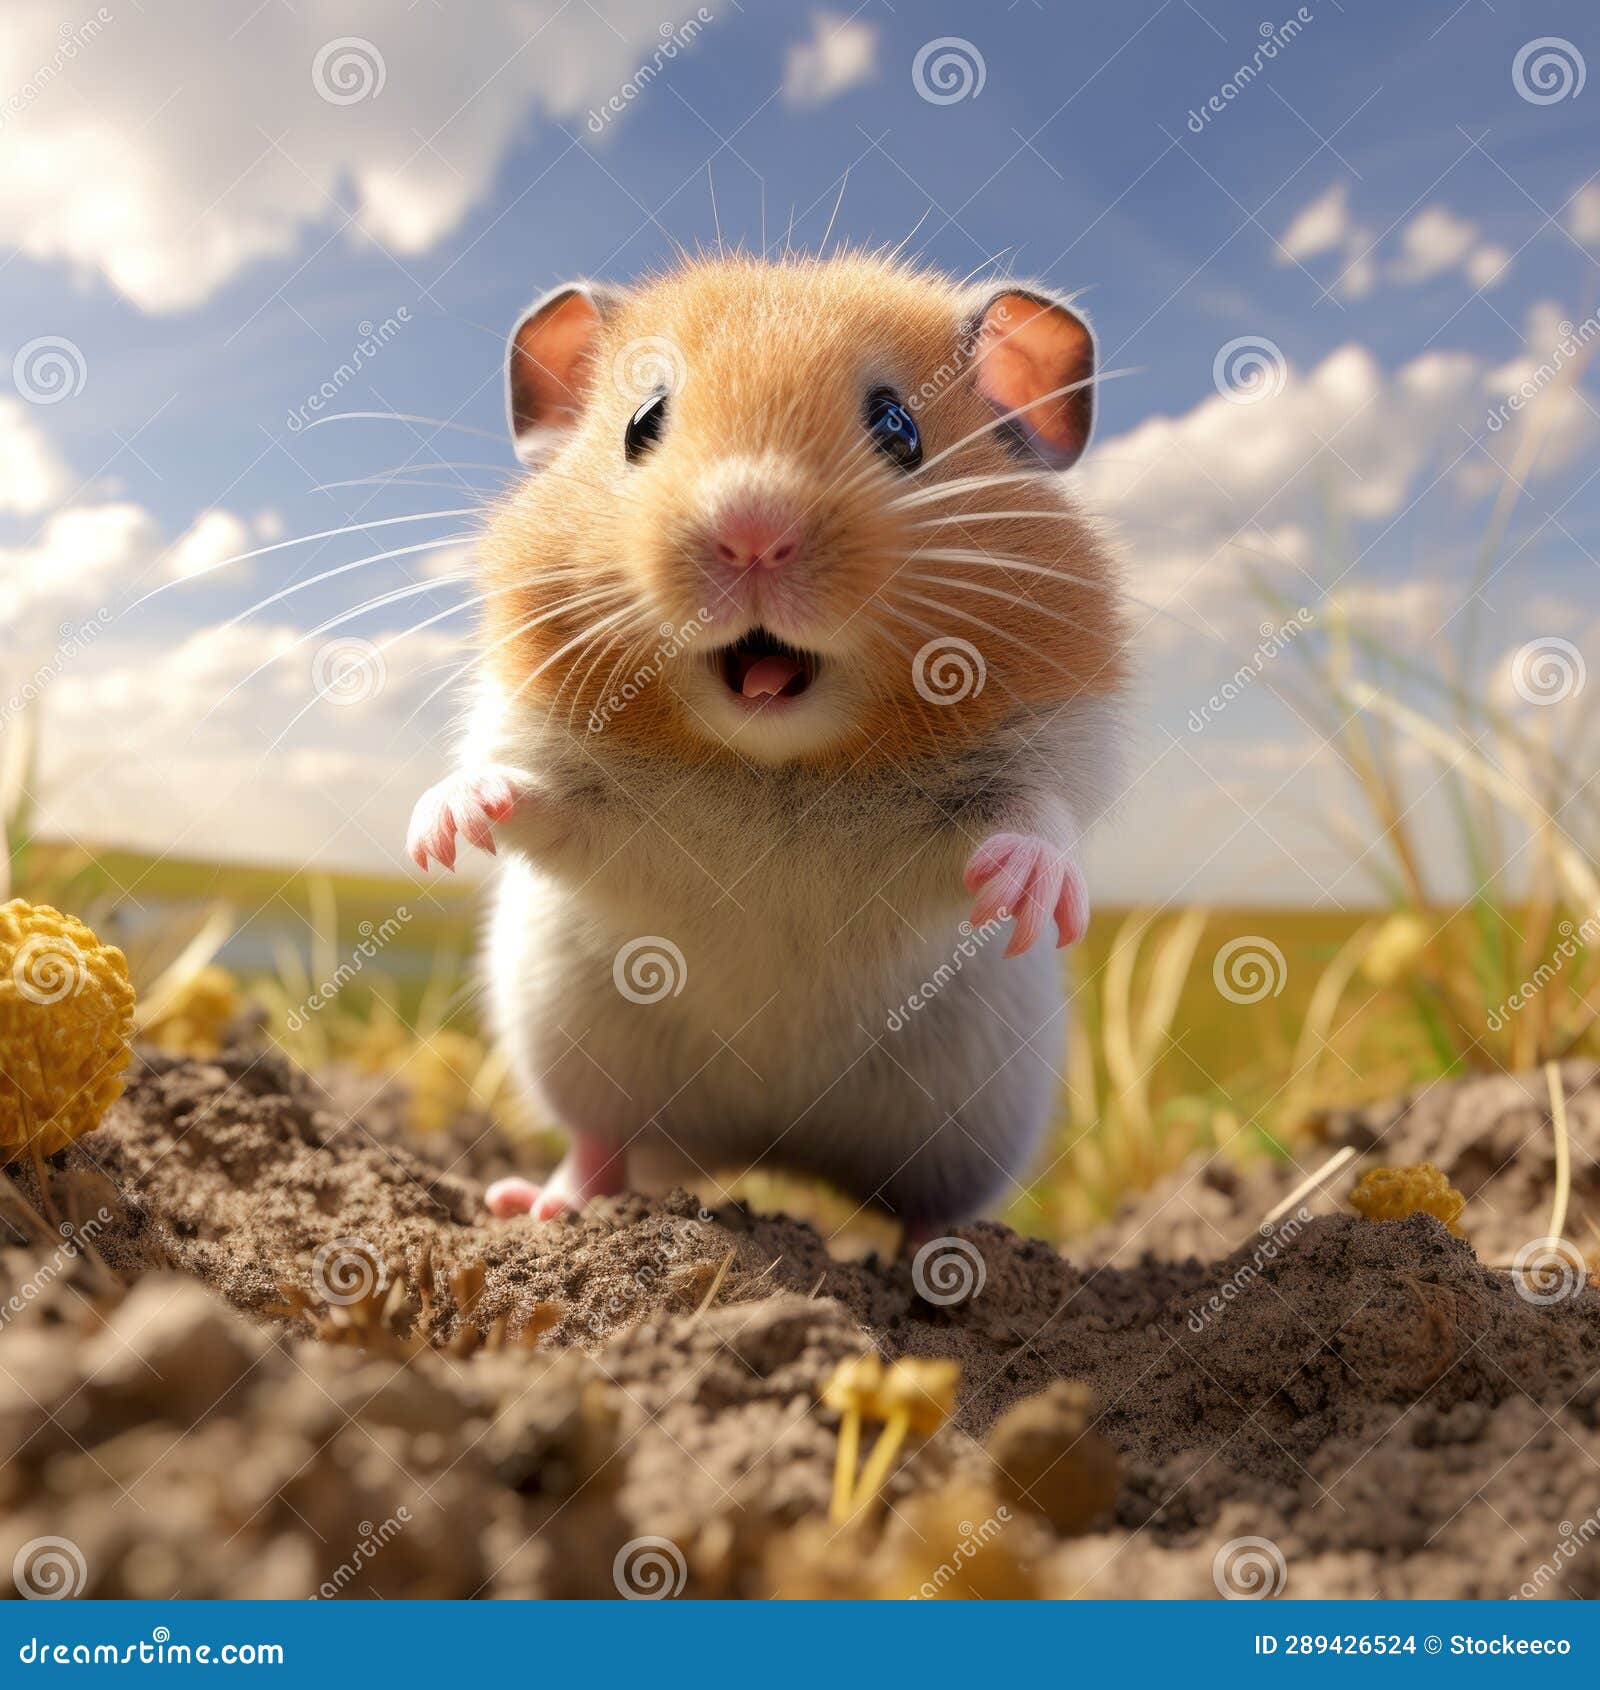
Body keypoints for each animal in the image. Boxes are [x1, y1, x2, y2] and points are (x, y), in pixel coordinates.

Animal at [407, 251, 1127, 1243]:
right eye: (642, 423)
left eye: (899, 428)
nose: (752, 531)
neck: (771, 763)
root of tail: (766, 1146)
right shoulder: (559, 768)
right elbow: (525, 791)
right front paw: (445, 829)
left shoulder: (1055, 743)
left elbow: (1036, 815)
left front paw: (1022, 893)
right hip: (573, 1043)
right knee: (599, 1145)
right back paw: (537, 1207)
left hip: (972, 1123)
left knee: (933, 1210)